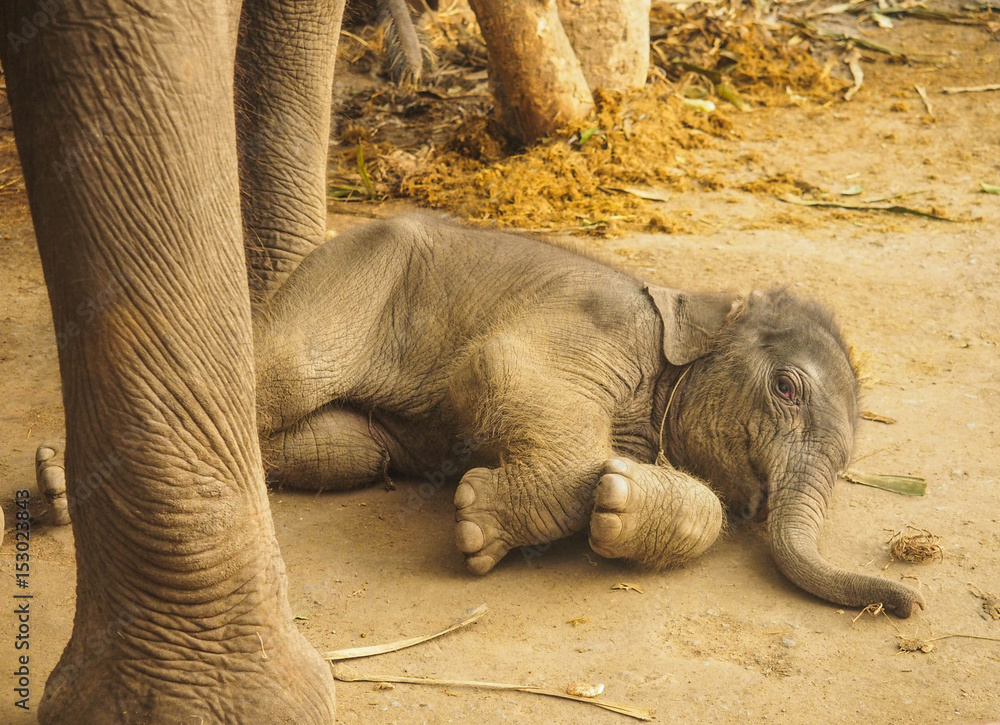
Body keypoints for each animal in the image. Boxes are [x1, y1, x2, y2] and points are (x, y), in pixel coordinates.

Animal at [252, 213, 924, 616]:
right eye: (786, 387)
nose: (909, 603)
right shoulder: (605, 325)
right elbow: (506, 365)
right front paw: (475, 524)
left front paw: (618, 496)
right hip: (354, 279)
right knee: (285, 372)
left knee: (357, 451)